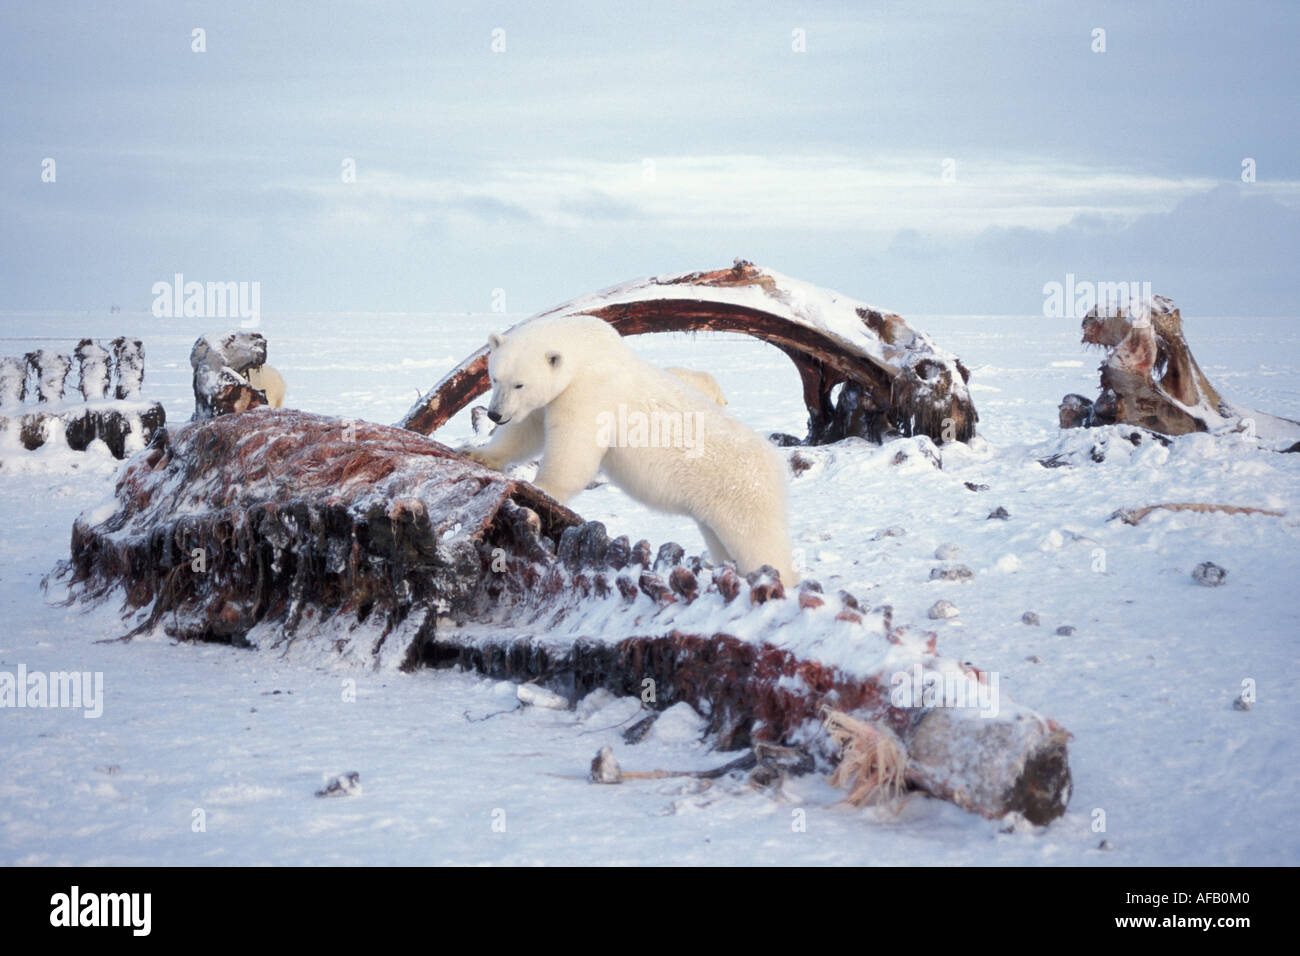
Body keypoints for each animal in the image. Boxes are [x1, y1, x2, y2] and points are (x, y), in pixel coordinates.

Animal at [458, 315, 795, 583]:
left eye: (520, 384)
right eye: (494, 378)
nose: (495, 414)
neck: (585, 352)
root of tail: (777, 466)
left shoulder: (589, 392)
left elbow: (574, 448)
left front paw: (540, 488)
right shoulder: (552, 398)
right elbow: (525, 432)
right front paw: (477, 453)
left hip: (742, 494)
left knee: (759, 543)